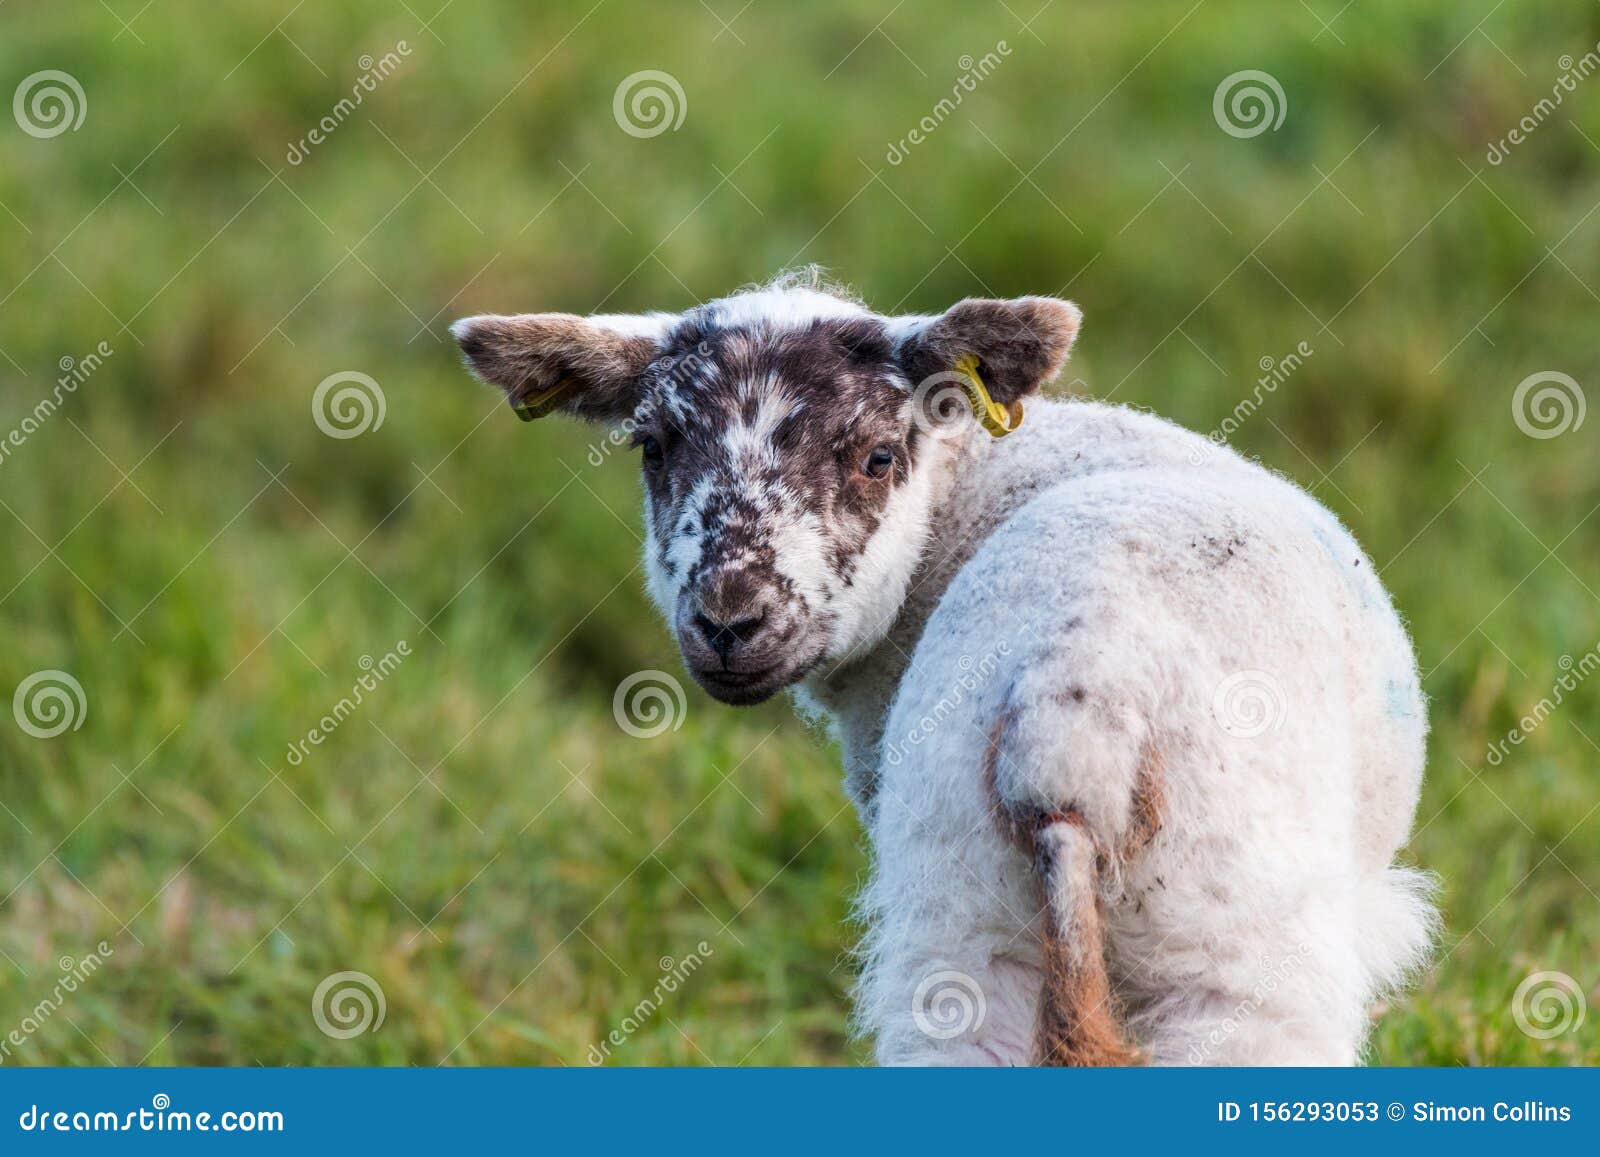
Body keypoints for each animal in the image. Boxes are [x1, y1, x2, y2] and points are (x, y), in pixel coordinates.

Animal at [451, 271, 1436, 1066]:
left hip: (960, 923)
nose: (730, 621)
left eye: (878, 456)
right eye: (652, 449)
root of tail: (1073, 712)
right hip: (1234, 951)